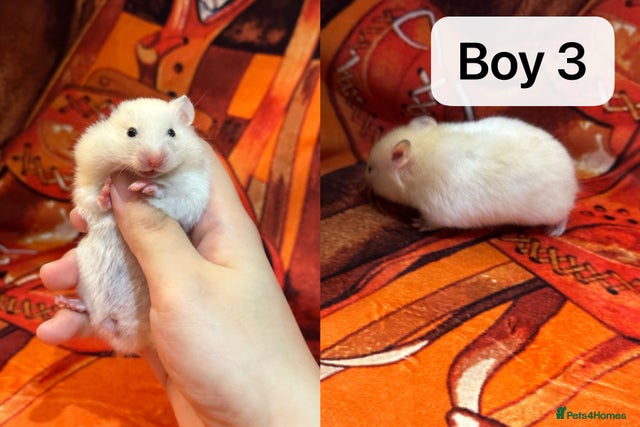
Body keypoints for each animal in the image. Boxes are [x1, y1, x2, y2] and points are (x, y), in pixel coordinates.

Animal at [70, 95, 212, 354]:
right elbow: (93, 202)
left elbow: (173, 197)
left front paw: (145, 188)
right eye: (131, 132)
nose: (154, 160)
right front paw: (107, 190)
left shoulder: (193, 193)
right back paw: (67, 302)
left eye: (172, 133)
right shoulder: (86, 180)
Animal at [365, 116, 578, 236]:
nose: (364, 182)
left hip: (553, 210)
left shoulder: (439, 211)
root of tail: (573, 180)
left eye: (370, 169)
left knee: (565, 216)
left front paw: (417, 224)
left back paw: (553, 232)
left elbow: (432, 223)